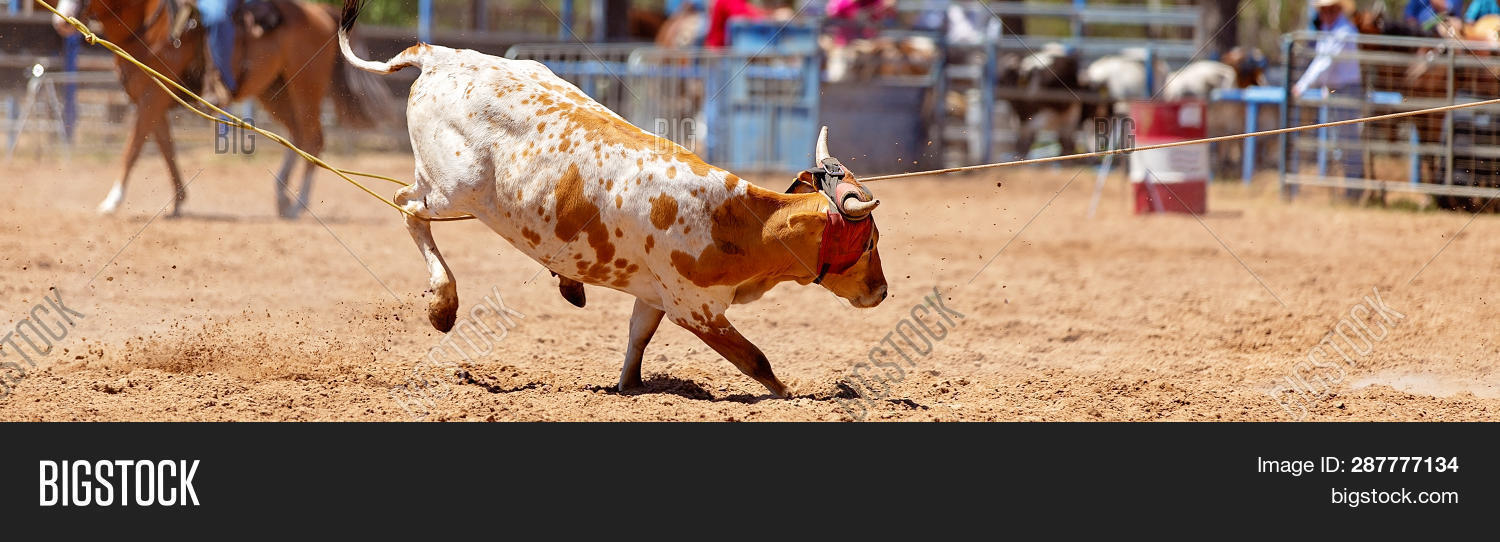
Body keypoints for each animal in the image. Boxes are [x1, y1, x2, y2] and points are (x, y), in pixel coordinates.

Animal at [337, 1, 887, 397]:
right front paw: (790, 397)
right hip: (453, 191)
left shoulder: (654, 296)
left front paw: (627, 387)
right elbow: (756, 360)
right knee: (408, 208)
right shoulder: (697, 310)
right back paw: (443, 304)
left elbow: (637, 341)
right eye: (867, 243)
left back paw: (568, 283)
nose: (881, 292)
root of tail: (441, 56)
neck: (737, 222)